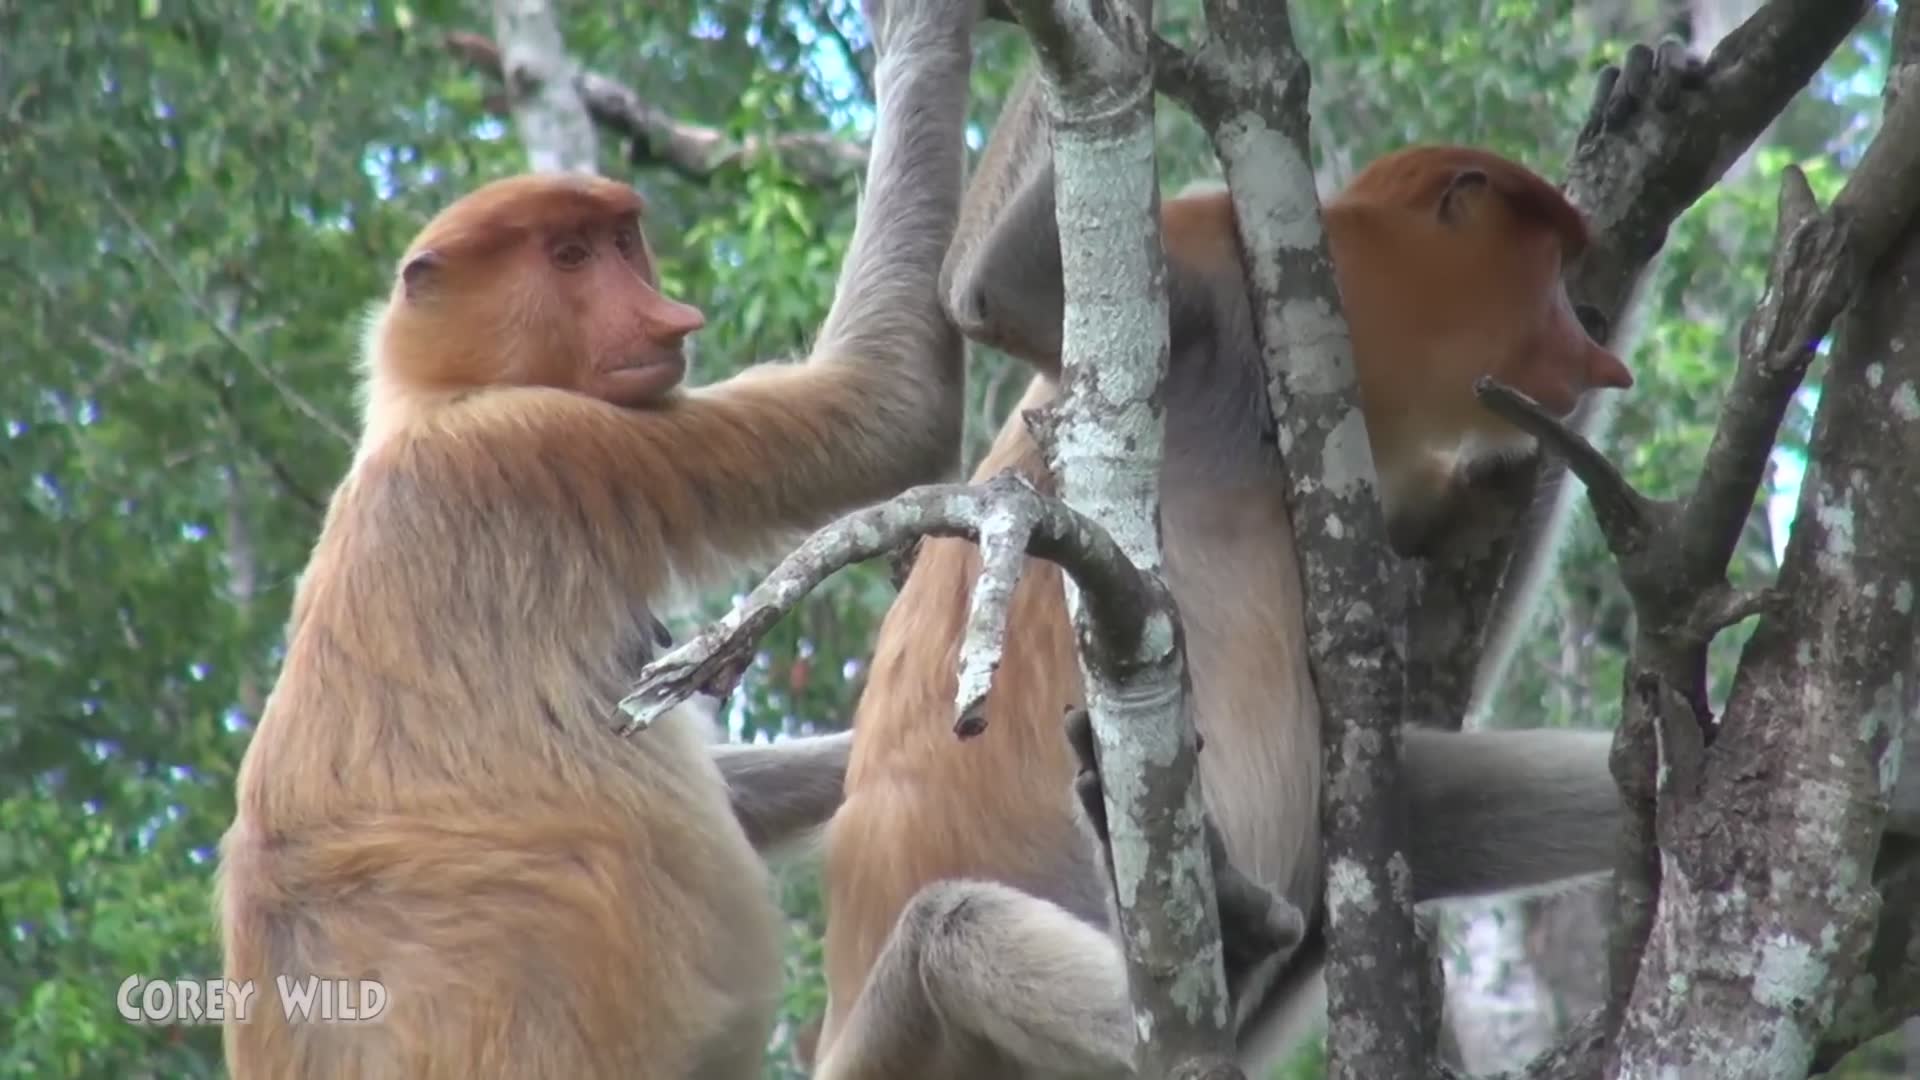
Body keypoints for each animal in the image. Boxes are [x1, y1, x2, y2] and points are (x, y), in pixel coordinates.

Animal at [211, 2, 980, 1076]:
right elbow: (888, 405)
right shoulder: (544, 445)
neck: (433, 404)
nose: (671, 316)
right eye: (570, 257)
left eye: (623, 239)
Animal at [810, 69, 1638, 1080]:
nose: (1597, 349)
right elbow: (996, 286)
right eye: (1549, 270)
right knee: (948, 927)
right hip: (894, 1045)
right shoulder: (1206, 264)